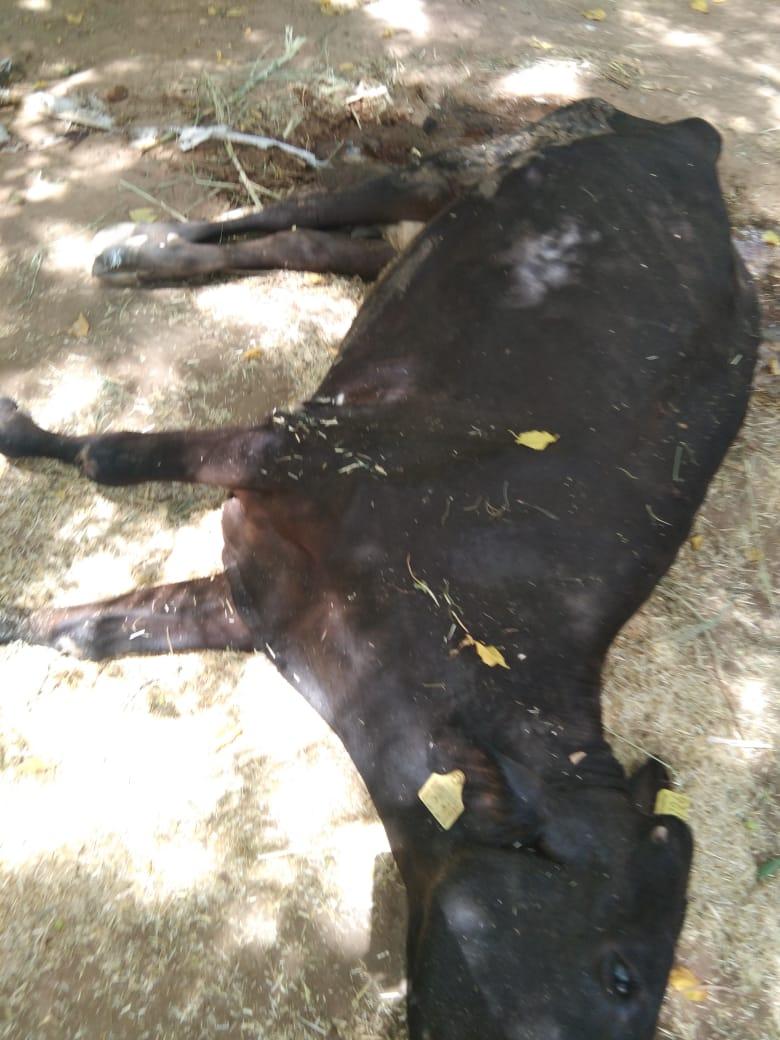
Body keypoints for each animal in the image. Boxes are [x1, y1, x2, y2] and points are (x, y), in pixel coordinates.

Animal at [0, 100, 760, 1040]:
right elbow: (109, 457)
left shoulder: (254, 600)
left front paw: (18, 622)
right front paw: (17, 430)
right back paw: (139, 248)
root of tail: (691, 137)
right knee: (306, 211)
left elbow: (104, 629)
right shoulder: (296, 447)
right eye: (621, 972)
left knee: (332, 247)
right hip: (459, 165)